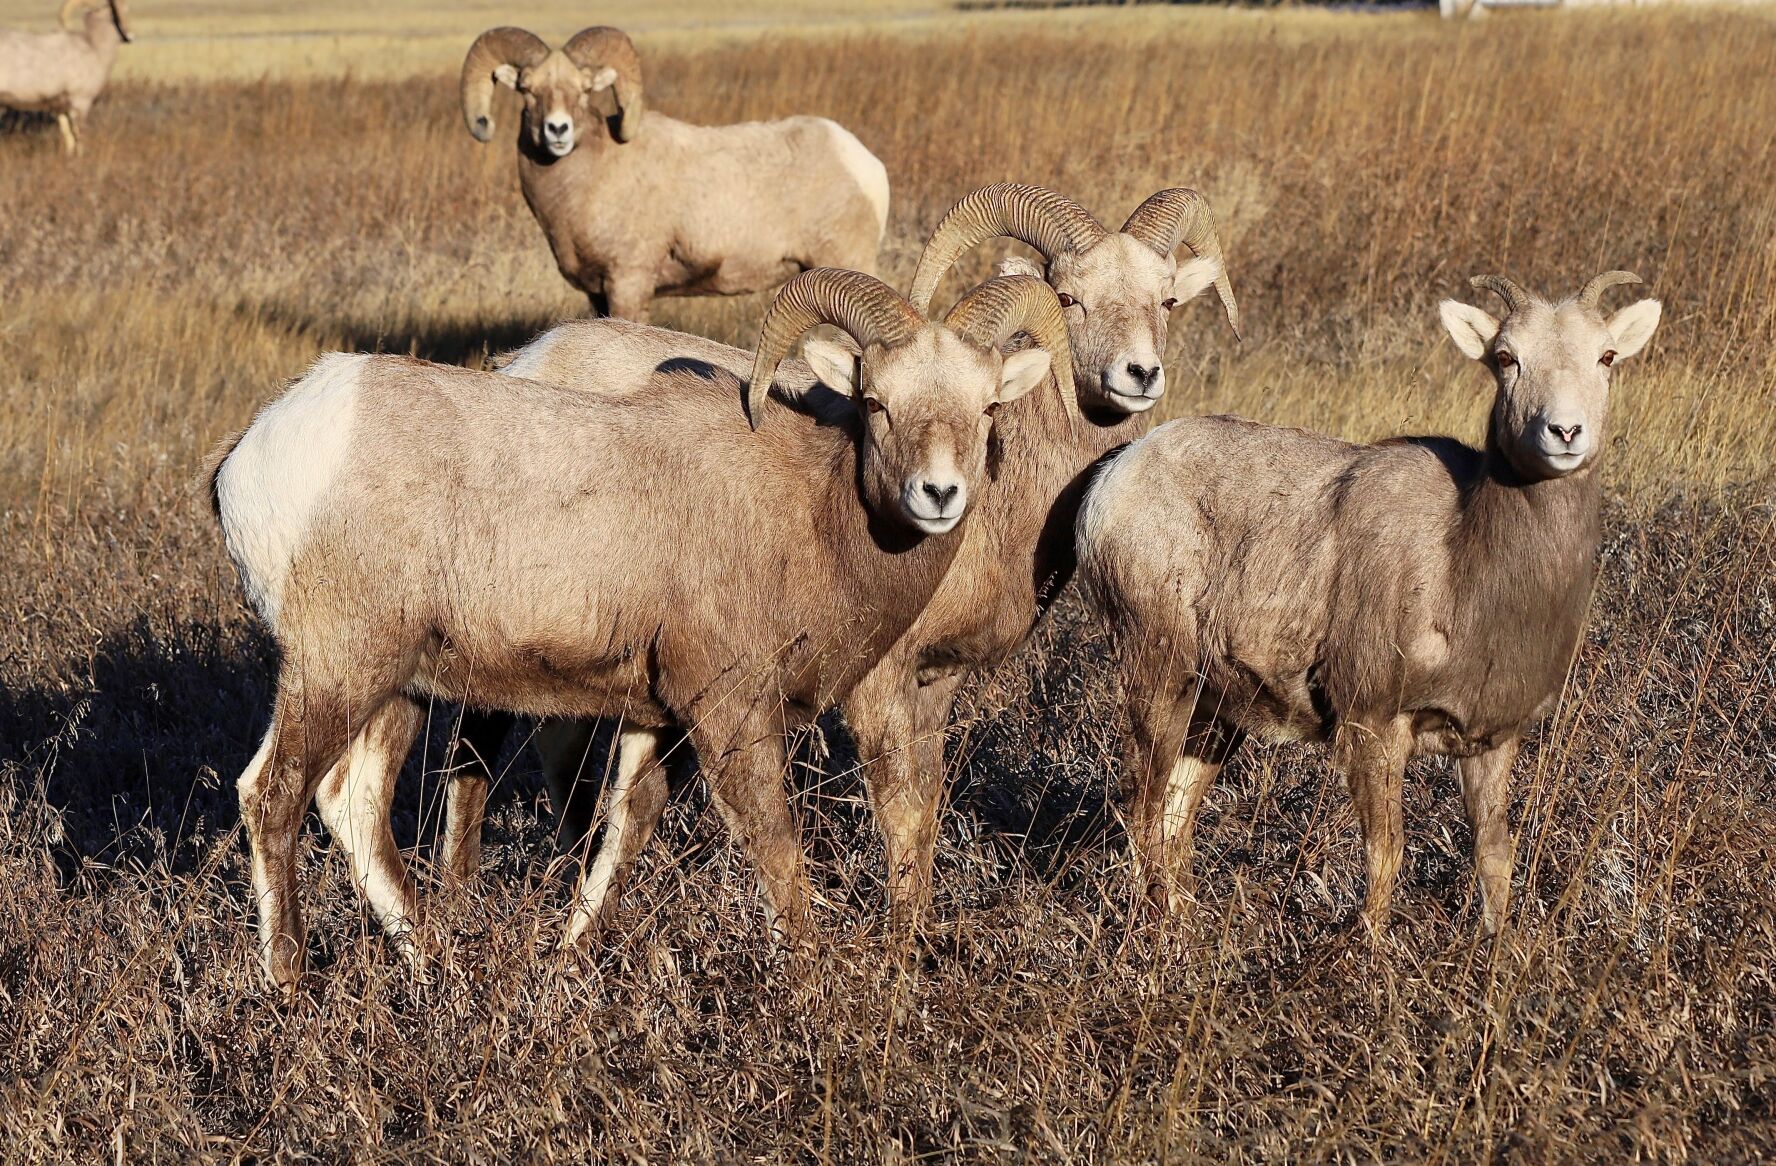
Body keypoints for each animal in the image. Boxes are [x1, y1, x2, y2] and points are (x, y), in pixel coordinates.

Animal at [0, 0, 129, 155]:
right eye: (112, 12)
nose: (130, 36)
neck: (93, 47)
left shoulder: (62, 108)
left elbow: (68, 135)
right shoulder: (81, 102)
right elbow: (79, 135)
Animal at [210, 269, 1073, 991]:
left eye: (987, 407)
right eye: (877, 403)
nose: (939, 494)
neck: (808, 513)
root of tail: (253, 454)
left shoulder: (659, 722)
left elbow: (624, 832)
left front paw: (562, 967)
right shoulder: (730, 714)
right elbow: (776, 849)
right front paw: (814, 988)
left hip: (401, 688)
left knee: (352, 804)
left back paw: (437, 971)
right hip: (339, 670)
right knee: (275, 793)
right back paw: (288, 985)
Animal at [427, 183, 1244, 932]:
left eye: (1167, 300)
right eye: (1070, 297)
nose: (1138, 376)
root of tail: (522, 365)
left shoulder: (937, 682)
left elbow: (926, 811)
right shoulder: (877, 681)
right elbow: (899, 817)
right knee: (479, 745)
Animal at [459, 25, 889, 321]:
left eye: (583, 90)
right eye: (527, 90)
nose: (557, 130)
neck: (591, 182)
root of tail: (867, 166)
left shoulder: (628, 283)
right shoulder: (597, 294)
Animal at [1074, 270, 1662, 935]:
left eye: (1606, 356)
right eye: (1506, 357)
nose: (1563, 432)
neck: (1465, 566)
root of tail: (1107, 485)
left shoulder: (1491, 742)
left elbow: (1494, 858)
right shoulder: (1373, 725)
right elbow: (1387, 854)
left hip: (1214, 714)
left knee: (1173, 818)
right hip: (1156, 676)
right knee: (1144, 811)